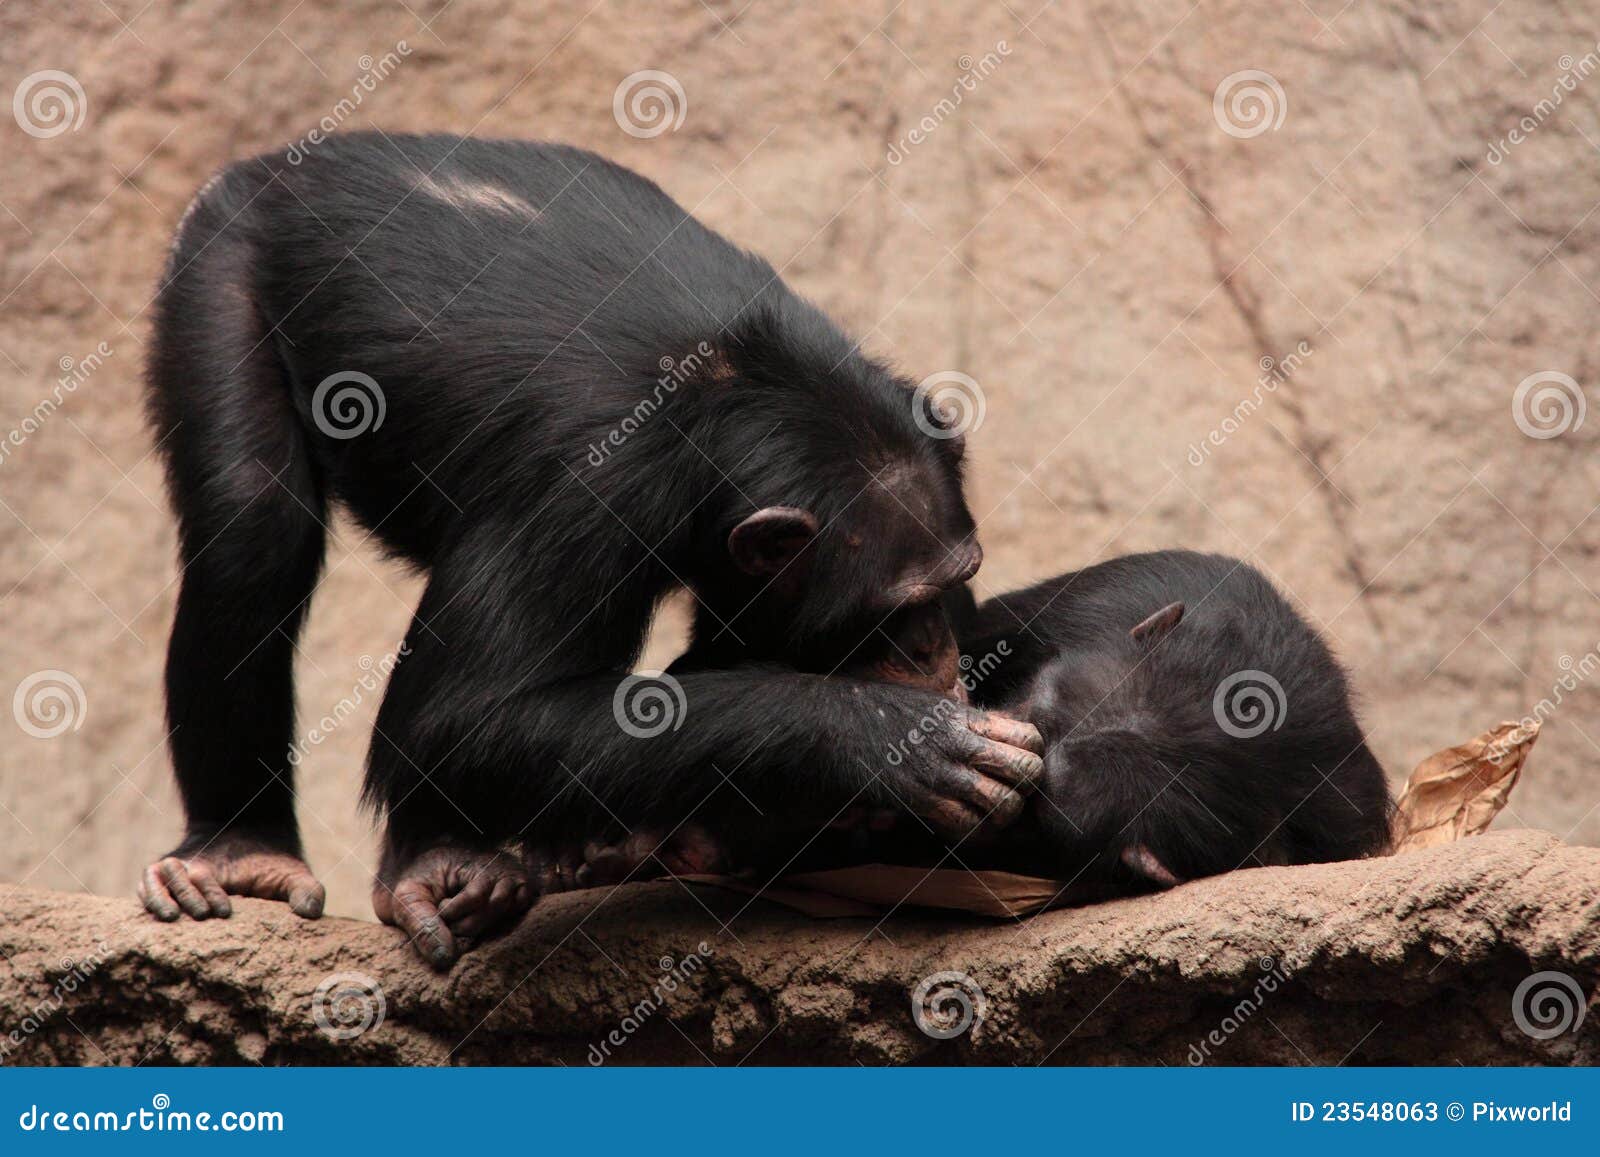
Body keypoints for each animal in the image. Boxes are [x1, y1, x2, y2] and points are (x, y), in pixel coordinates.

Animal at [137, 133, 1043, 967]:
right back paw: (265, 848)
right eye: (892, 612)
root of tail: (288, 159)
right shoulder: (591, 490)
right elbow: (467, 717)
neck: (732, 395)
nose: (933, 647)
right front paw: (884, 739)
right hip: (219, 253)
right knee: (252, 528)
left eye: (949, 586)